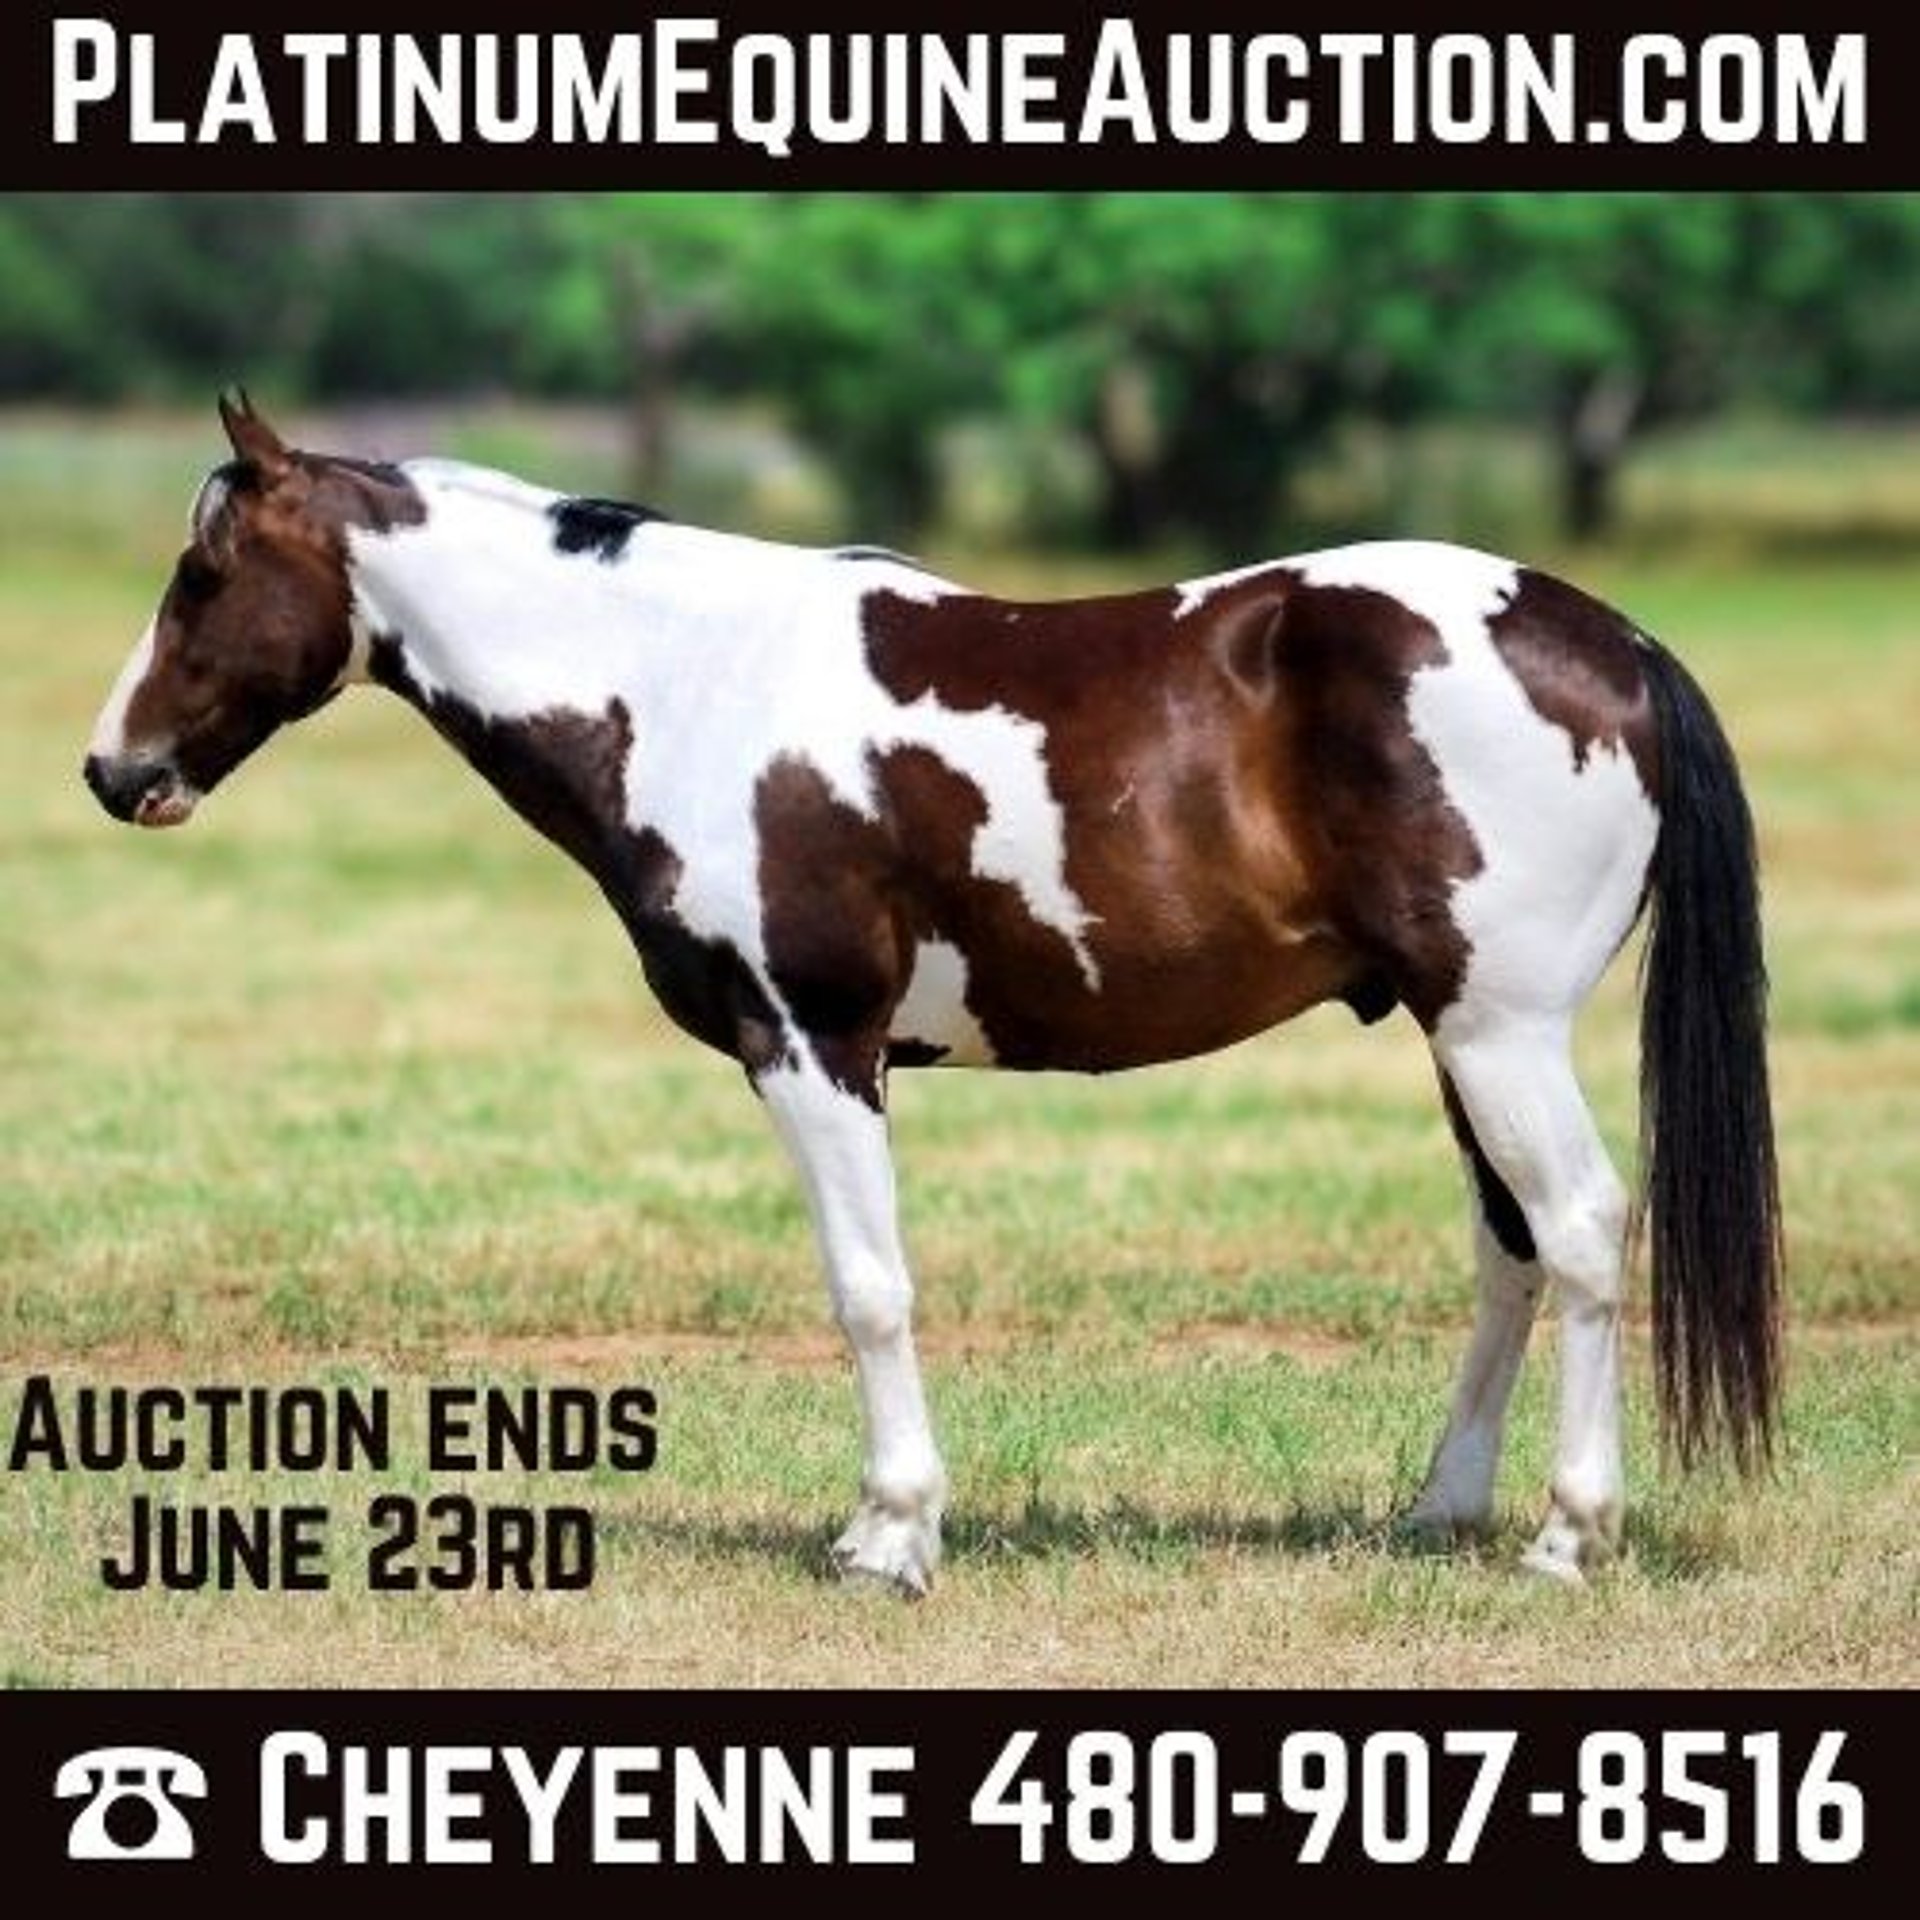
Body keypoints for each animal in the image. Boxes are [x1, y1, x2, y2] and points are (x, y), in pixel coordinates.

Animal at [84, 394, 1781, 1593]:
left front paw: (890, 1537)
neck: (684, 681)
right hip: (1458, 1038)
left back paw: (1567, 1539)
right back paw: (1441, 1512)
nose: (115, 770)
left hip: (1503, 1036)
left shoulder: (811, 1043)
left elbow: (870, 1290)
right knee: (1510, 1249)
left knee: (1579, 1233)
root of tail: (1613, 640)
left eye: (204, 573)